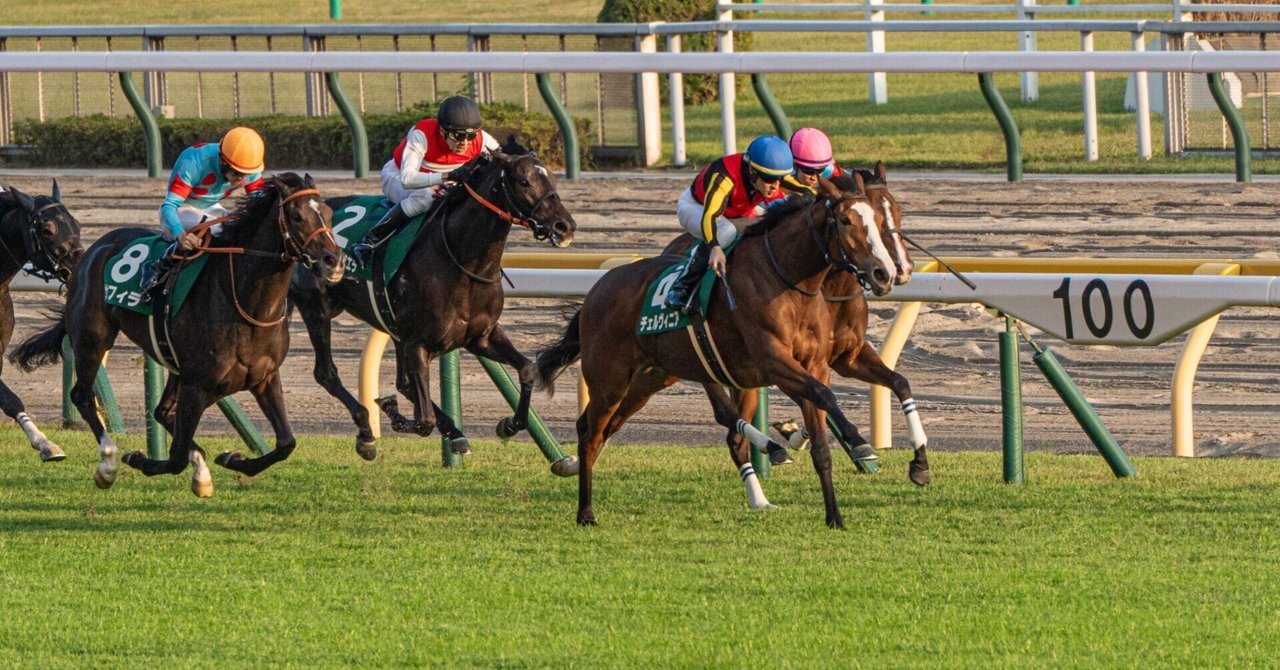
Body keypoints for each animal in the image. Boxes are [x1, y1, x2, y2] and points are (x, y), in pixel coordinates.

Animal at [11, 173, 342, 497]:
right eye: (297, 217)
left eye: (327, 214)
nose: (333, 260)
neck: (246, 304)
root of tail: (91, 249)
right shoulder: (197, 386)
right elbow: (176, 458)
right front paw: (141, 459)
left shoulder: (264, 378)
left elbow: (286, 444)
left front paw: (231, 459)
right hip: (93, 338)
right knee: (83, 395)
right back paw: (108, 464)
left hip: (172, 362)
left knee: (161, 412)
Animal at [289, 148, 578, 475]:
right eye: (523, 181)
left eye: (553, 179)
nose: (564, 226)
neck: (464, 263)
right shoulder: (418, 343)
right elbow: (423, 421)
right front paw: (393, 413)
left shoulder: (481, 337)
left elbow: (528, 368)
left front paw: (507, 425)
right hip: (317, 308)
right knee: (326, 373)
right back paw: (367, 435)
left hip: (392, 329)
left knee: (402, 383)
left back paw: (452, 433)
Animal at [535, 175, 898, 529]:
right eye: (845, 220)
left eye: (880, 220)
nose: (885, 272)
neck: (786, 280)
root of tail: (597, 289)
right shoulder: (774, 361)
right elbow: (824, 394)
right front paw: (857, 440)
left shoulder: (814, 365)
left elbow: (821, 439)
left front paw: (834, 515)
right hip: (610, 380)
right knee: (590, 432)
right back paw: (585, 512)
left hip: (648, 378)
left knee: (608, 427)